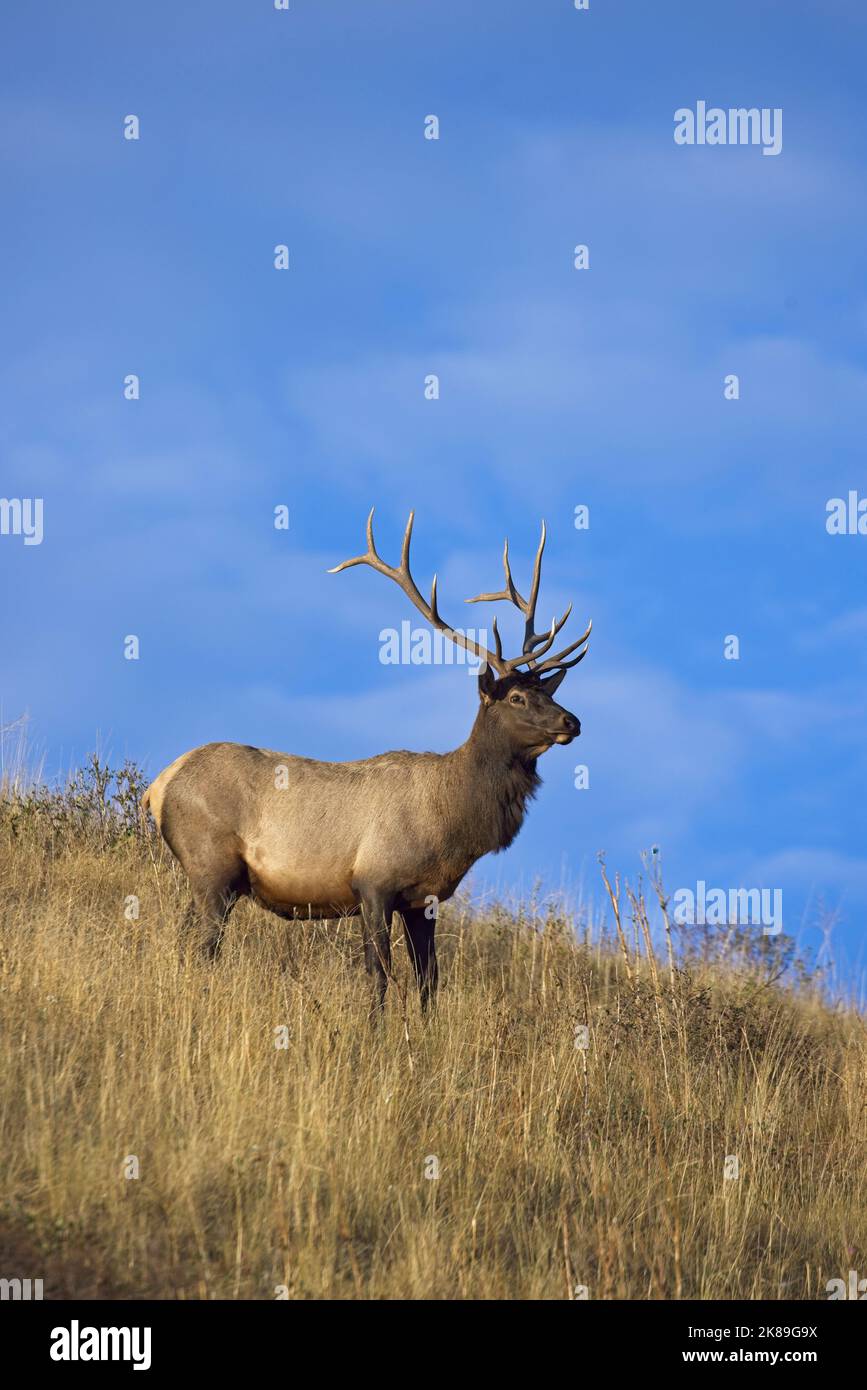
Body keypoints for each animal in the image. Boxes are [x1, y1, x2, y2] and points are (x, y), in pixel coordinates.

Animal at [142, 511, 591, 1012]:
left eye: (546, 691)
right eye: (516, 697)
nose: (572, 721)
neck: (451, 820)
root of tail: (157, 787)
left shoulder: (424, 900)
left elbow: (429, 981)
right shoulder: (373, 883)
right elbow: (379, 974)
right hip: (211, 866)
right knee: (203, 947)